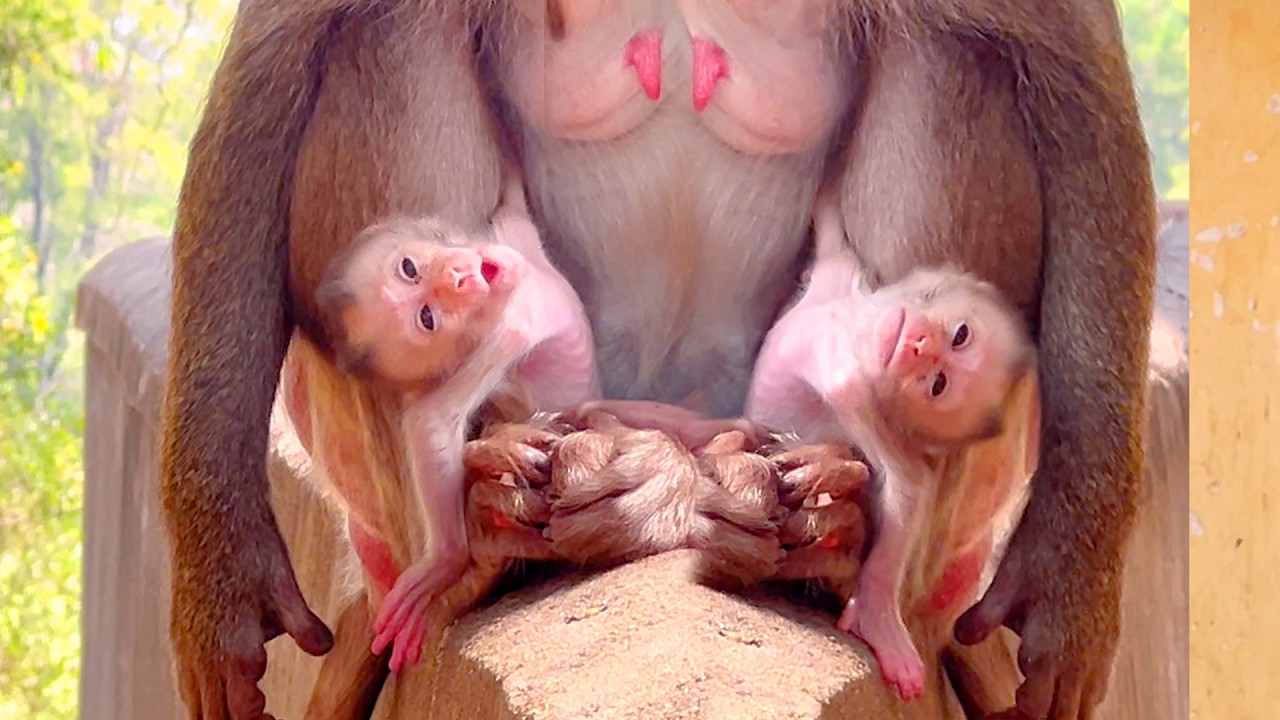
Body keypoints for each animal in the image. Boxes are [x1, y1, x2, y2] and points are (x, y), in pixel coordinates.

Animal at [162, 1, 1154, 717]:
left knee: (948, 51)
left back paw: (835, 531)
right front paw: (225, 592)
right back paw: (486, 531)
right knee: (394, 30)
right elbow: (274, 70)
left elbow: (1074, 86)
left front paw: (1065, 596)